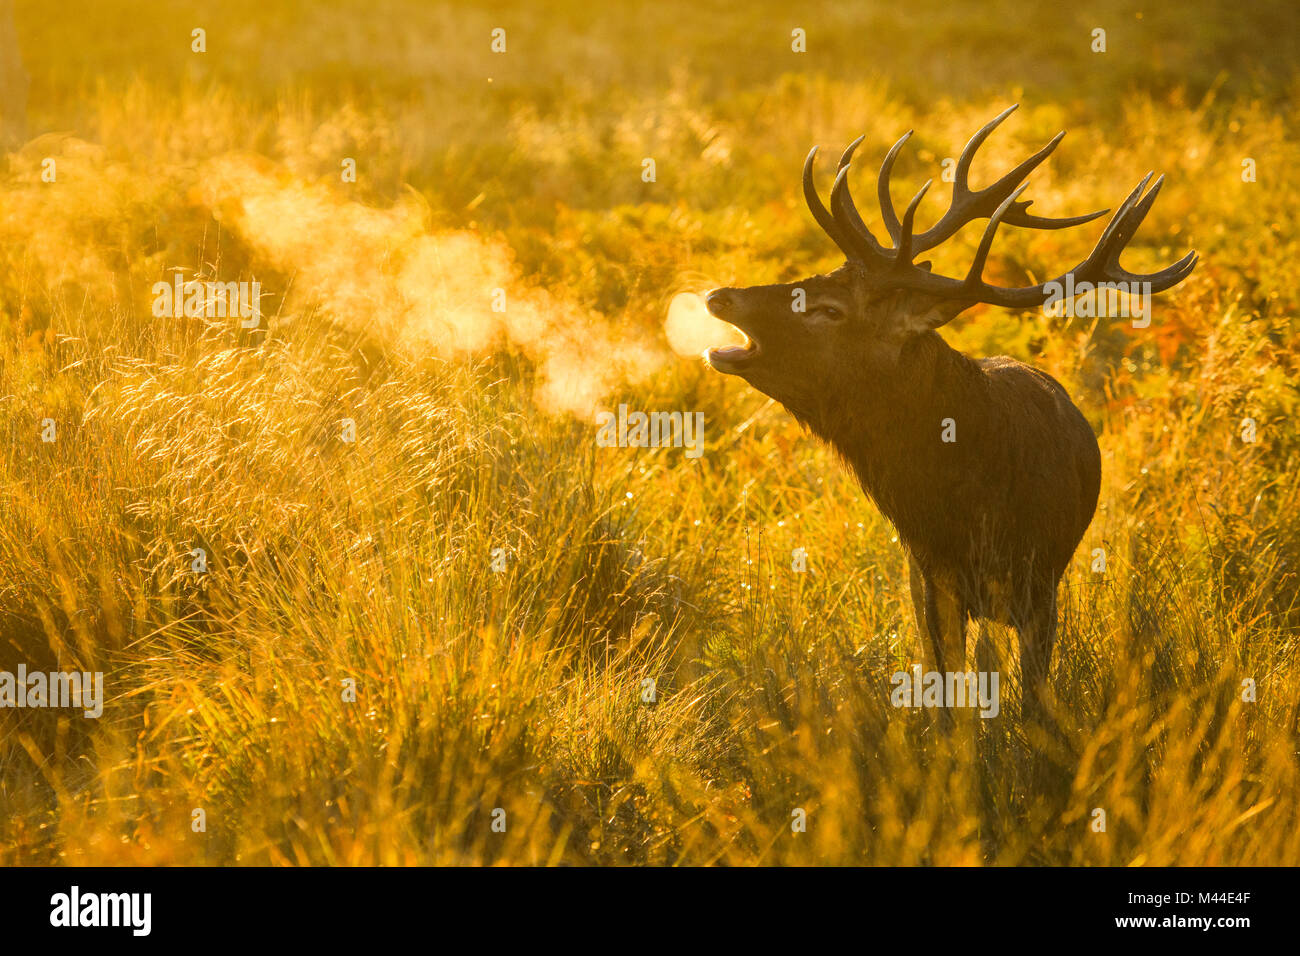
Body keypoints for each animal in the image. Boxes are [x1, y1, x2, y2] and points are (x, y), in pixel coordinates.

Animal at [704, 106, 1196, 722]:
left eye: (828, 309)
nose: (720, 296)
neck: (969, 505)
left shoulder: (1041, 585)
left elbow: (1031, 703)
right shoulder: (929, 580)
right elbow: (947, 708)